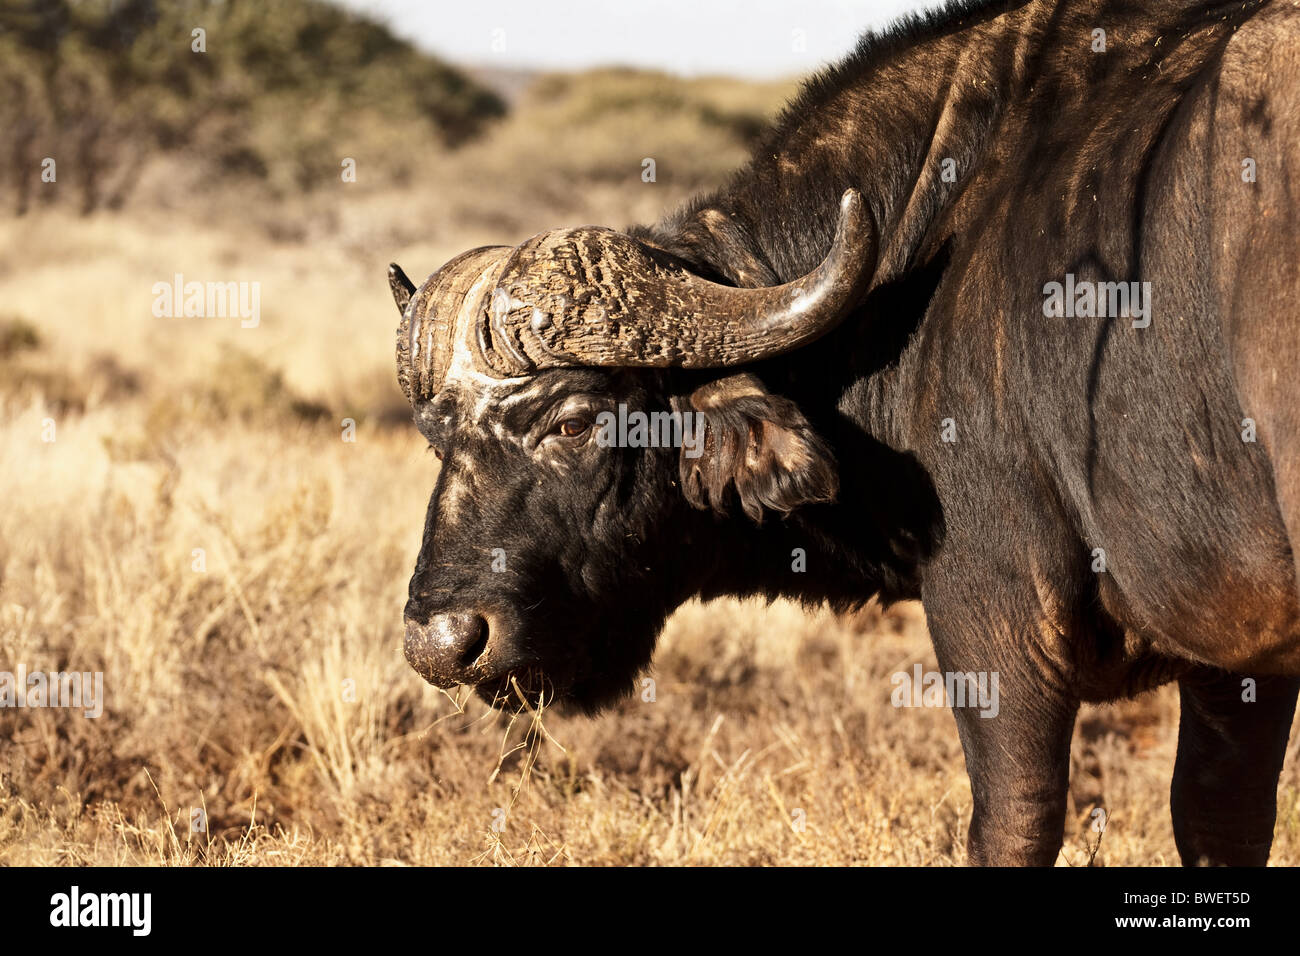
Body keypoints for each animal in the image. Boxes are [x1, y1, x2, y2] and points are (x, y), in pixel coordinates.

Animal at [389, 0, 1300, 865]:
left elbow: (1013, 826)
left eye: (574, 421)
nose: (443, 644)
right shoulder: (1235, 668)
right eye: (436, 438)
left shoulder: (995, 619)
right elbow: (1219, 819)